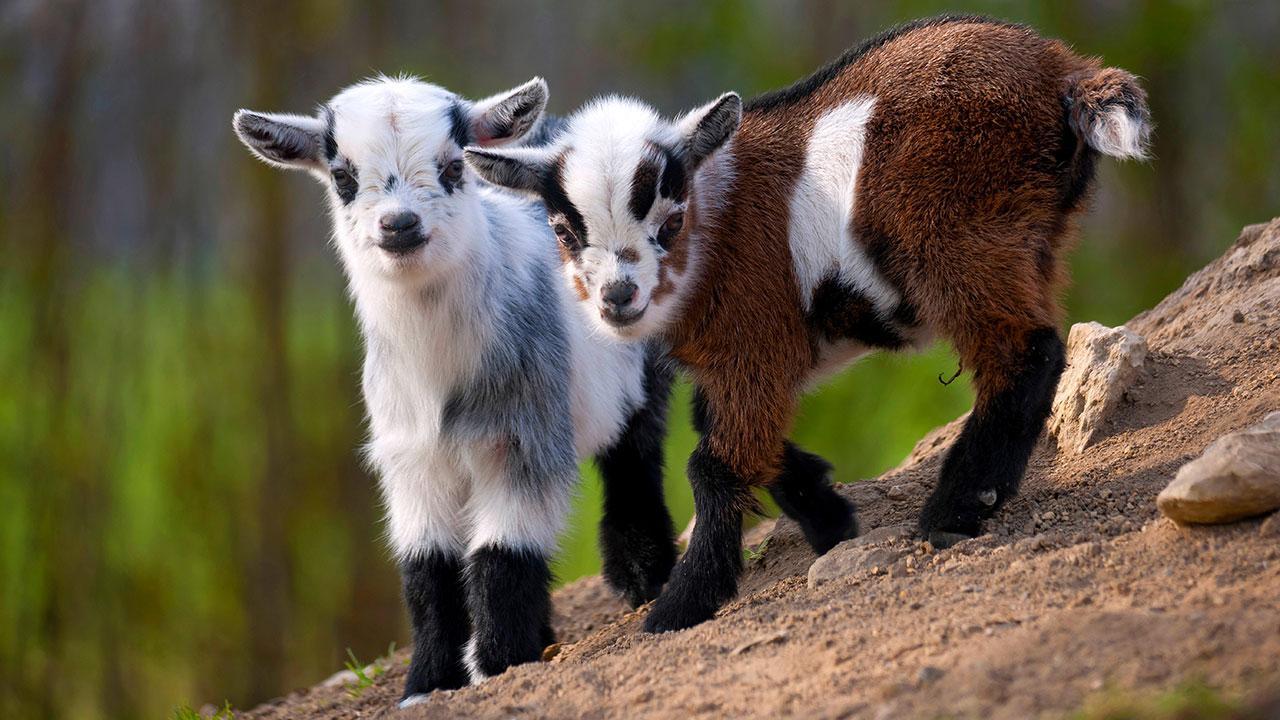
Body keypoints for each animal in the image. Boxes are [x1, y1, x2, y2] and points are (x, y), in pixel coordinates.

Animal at [233, 76, 676, 704]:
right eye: (343, 177)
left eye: (451, 167)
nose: (399, 224)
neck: (439, 380)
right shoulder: (409, 453)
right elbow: (428, 565)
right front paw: (430, 680)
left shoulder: (523, 434)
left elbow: (503, 553)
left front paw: (497, 663)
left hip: (644, 367)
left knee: (635, 452)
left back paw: (644, 578)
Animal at [466, 16, 1152, 633]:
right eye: (563, 231)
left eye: (670, 221)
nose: (618, 297)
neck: (717, 226)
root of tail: (1064, 70)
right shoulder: (739, 367)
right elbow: (726, 434)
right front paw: (829, 515)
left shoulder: (755, 344)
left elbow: (712, 465)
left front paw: (680, 606)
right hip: (1027, 242)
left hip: (960, 238)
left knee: (1025, 352)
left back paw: (954, 511)